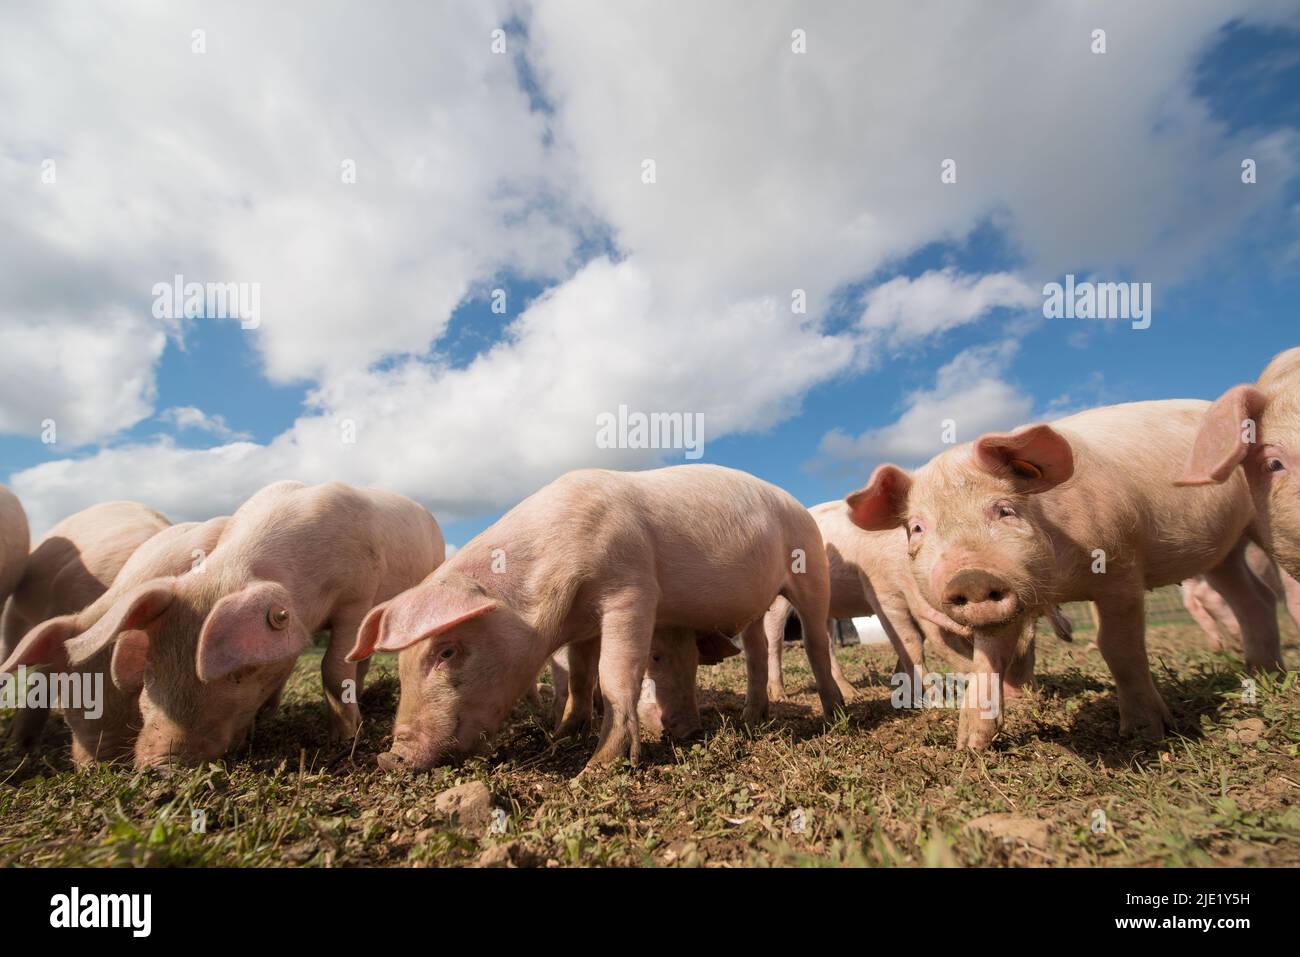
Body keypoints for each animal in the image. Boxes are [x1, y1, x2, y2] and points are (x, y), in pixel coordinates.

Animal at [60, 481, 443, 767]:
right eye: (151, 670)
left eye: (238, 673)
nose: (161, 765)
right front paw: (264, 721)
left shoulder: (357, 597)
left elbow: (334, 668)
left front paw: (345, 738)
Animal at [347, 464, 845, 773]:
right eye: (403, 664)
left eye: (447, 651)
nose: (389, 758)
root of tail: (795, 502)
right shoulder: (580, 625)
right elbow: (582, 677)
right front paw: (562, 735)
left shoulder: (631, 589)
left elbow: (614, 675)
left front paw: (597, 767)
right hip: (753, 606)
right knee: (756, 649)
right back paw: (751, 718)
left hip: (810, 568)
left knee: (815, 640)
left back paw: (835, 714)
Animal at [845, 399, 1282, 749]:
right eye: (917, 528)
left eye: (1005, 510)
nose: (970, 576)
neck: (1057, 586)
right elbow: (987, 658)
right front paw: (969, 744)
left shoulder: (1122, 568)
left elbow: (1118, 647)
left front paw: (1145, 734)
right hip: (1223, 555)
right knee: (1253, 599)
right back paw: (1260, 673)